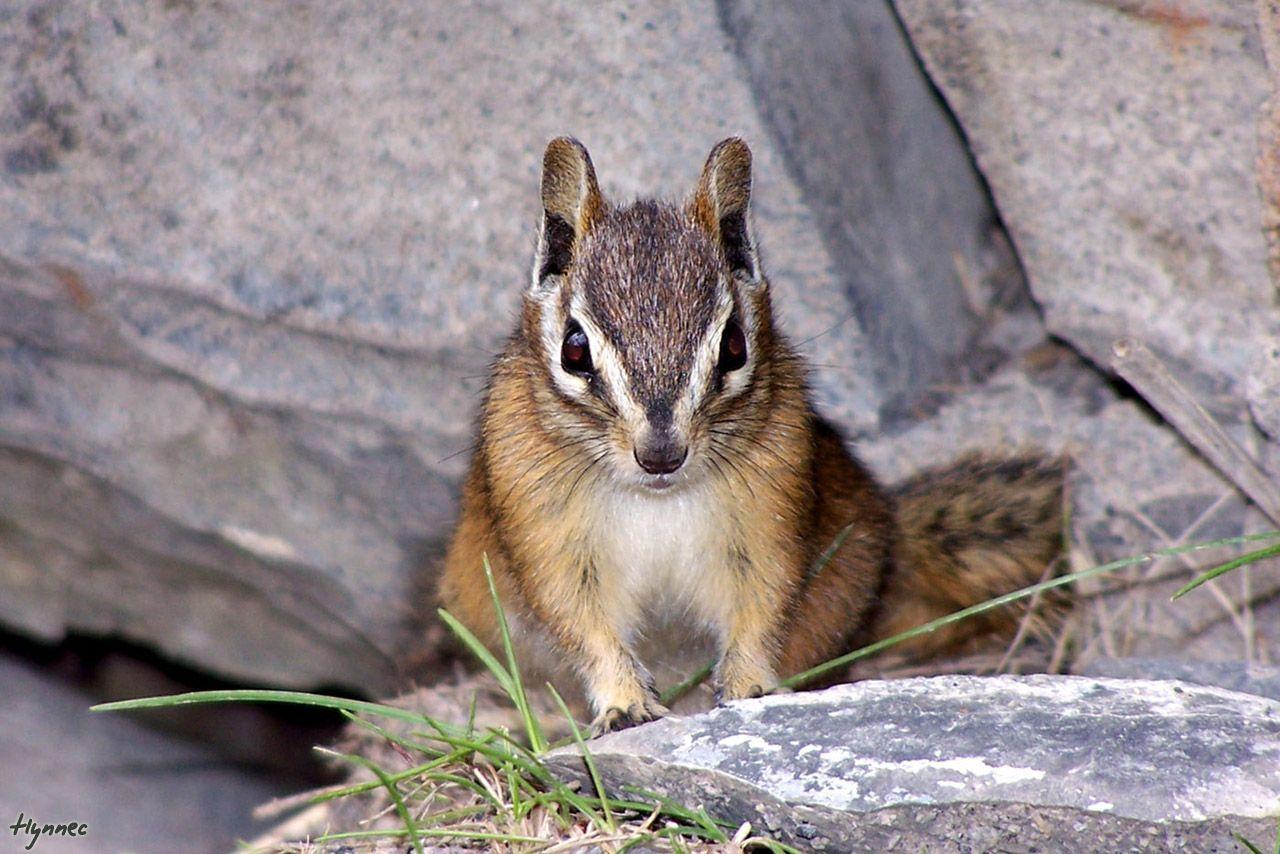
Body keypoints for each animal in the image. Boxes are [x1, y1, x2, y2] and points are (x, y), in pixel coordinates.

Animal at [439, 136, 1064, 735]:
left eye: (735, 345)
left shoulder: (767, 519)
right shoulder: (548, 538)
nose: (660, 455)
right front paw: (623, 702)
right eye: (574, 350)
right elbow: (582, 625)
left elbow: (763, 608)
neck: (657, 500)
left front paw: (749, 686)